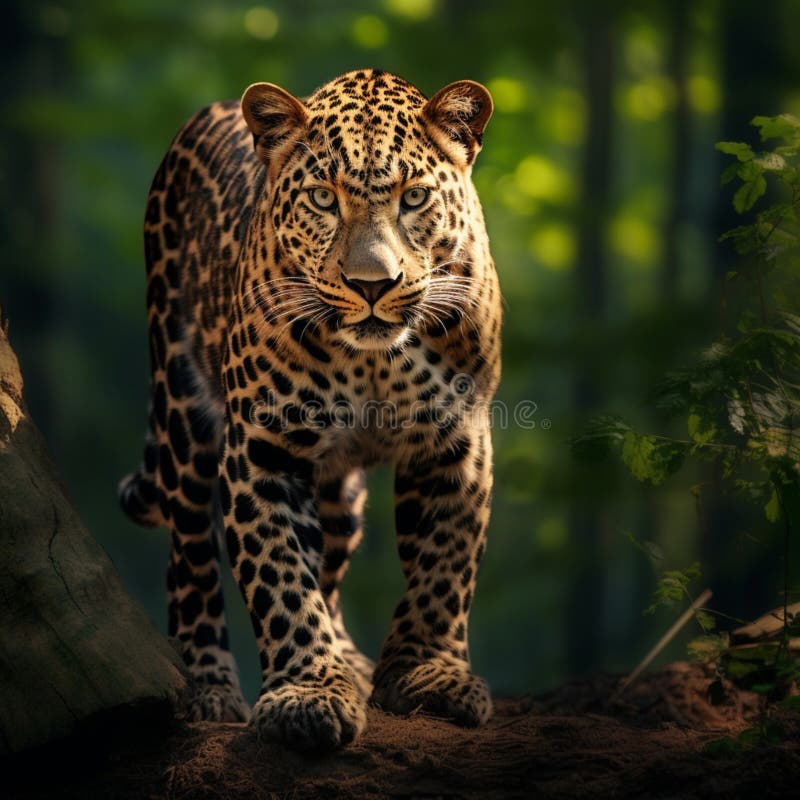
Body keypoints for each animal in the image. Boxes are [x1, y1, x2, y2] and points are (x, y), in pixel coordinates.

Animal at [120, 68, 501, 751]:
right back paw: (208, 685)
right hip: (182, 409)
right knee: (190, 557)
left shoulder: (458, 439)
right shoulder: (261, 449)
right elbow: (280, 580)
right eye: (323, 199)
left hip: (339, 494)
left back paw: (353, 660)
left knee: (331, 556)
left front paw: (428, 674)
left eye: (413, 199)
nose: (372, 284)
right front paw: (307, 692)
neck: (375, 361)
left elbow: (444, 566)